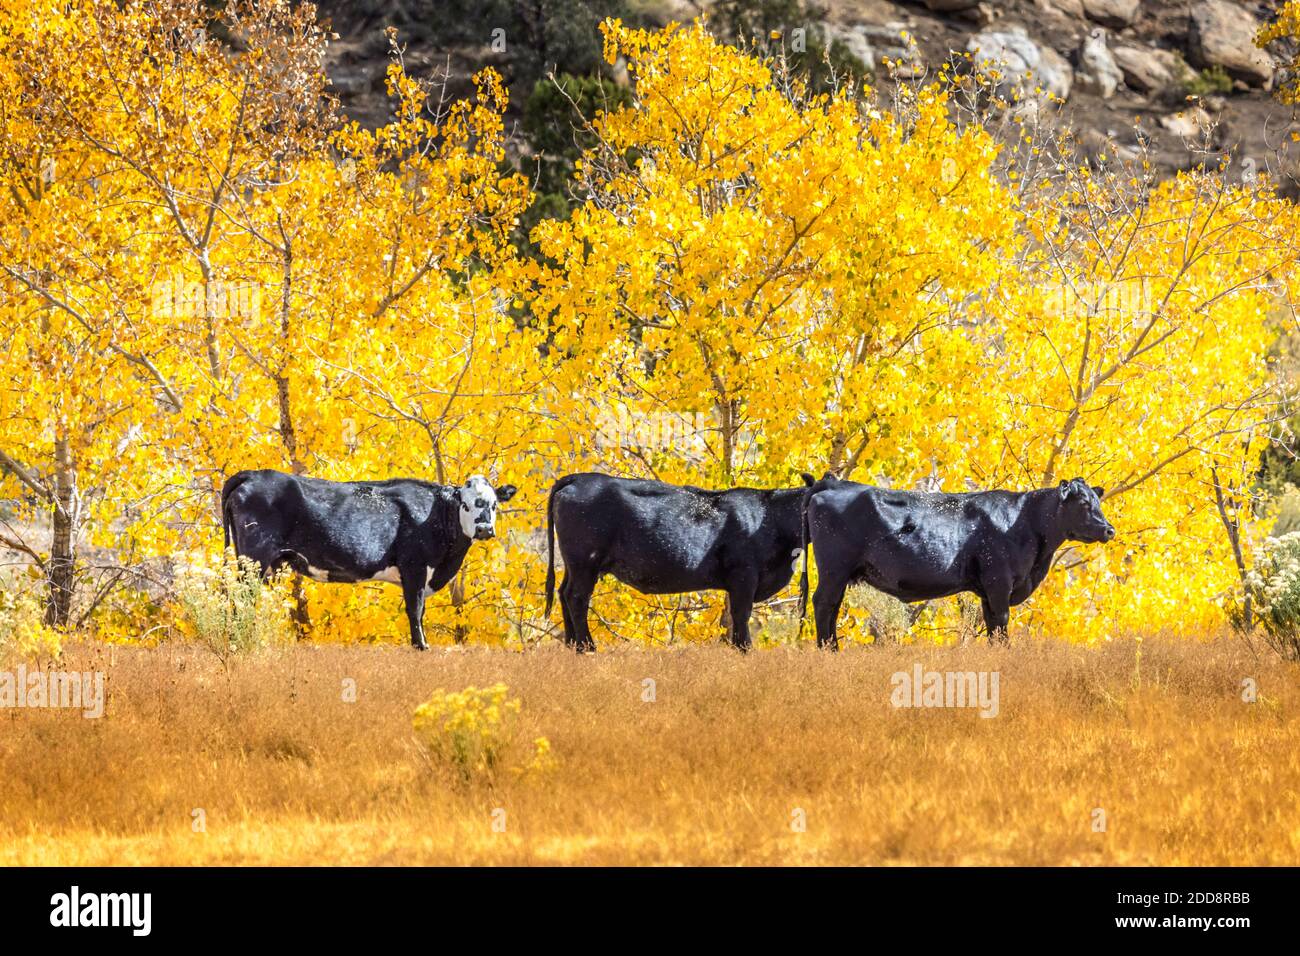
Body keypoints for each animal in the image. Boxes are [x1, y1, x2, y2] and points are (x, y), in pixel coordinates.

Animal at [221, 470, 517, 649]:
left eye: (494, 505)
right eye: (465, 505)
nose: (484, 529)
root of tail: (252, 474)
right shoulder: (415, 567)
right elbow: (415, 610)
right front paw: (421, 646)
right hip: (253, 559)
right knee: (240, 598)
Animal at [543, 472, 816, 653]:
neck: (771, 518)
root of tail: (579, 477)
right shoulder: (744, 576)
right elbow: (741, 614)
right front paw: (745, 650)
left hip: (574, 564)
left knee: (563, 593)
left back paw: (572, 645)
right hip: (584, 562)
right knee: (576, 597)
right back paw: (587, 647)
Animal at [800, 475, 1115, 648]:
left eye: (1097, 502)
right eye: (1083, 503)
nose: (1109, 530)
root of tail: (831, 483)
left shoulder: (988, 590)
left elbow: (991, 625)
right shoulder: (999, 582)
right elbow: (1001, 622)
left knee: (831, 607)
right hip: (834, 570)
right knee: (824, 604)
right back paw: (829, 650)